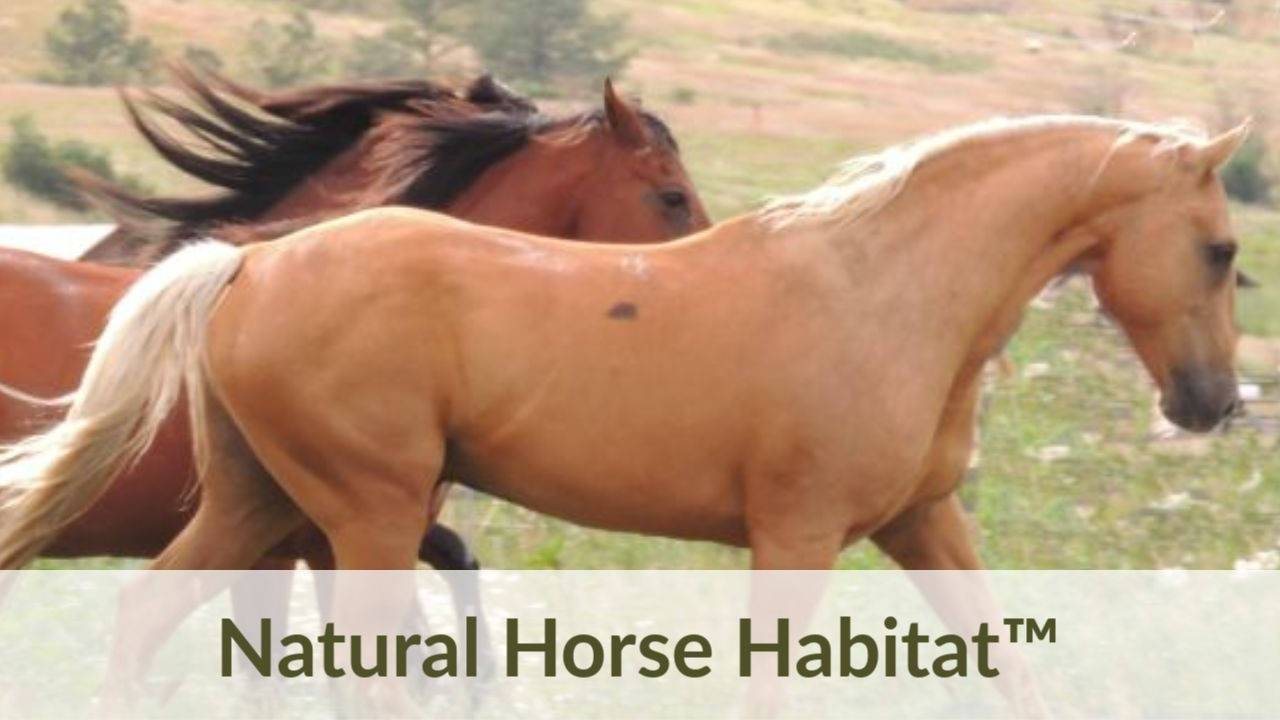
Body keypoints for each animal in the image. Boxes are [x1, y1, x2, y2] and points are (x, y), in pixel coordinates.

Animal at [0, 115, 1248, 713]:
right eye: (1221, 249)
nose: (1208, 404)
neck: (881, 290)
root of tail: (248, 267)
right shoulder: (796, 535)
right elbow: (766, 688)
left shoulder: (921, 522)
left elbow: (1010, 668)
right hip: (364, 512)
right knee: (363, 668)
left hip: (260, 507)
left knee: (146, 613)